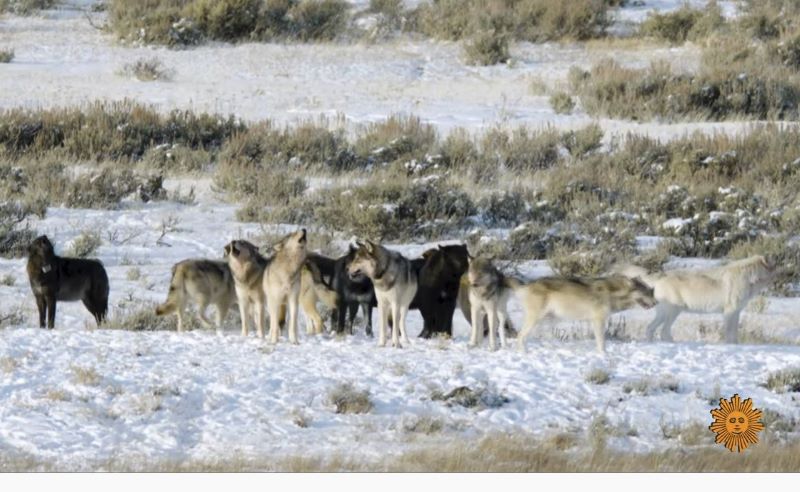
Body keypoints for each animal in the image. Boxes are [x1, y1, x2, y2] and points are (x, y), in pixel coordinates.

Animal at [513, 275, 657, 353]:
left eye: (651, 292)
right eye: (646, 293)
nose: (656, 302)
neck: (612, 293)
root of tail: (526, 285)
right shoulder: (598, 321)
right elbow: (601, 341)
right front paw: (603, 355)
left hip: (547, 320)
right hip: (536, 319)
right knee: (520, 336)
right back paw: (524, 353)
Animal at [613, 256, 776, 343]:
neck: (750, 277)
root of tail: (659, 276)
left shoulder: (736, 313)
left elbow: (734, 335)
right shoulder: (729, 313)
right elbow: (730, 335)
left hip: (664, 314)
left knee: (651, 329)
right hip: (673, 312)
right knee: (664, 332)